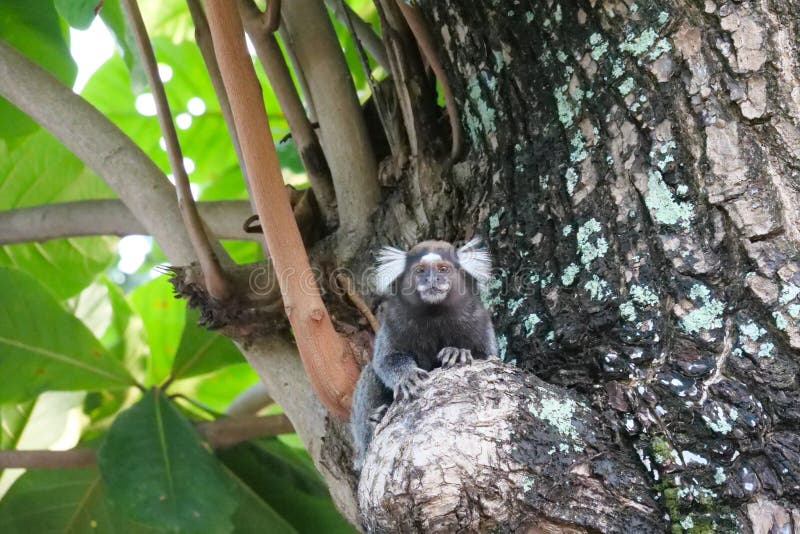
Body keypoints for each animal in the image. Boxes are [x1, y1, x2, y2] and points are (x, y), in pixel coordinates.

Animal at [350, 238, 498, 472]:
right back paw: (374, 422)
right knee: (370, 374)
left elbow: (488, 356)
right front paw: (407, 377)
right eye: (420, 270)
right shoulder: (393, 321)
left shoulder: (479, 318)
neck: (435, 314)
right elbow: (385, 360)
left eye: (443, 269)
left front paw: (457, 353)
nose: (431, 280)